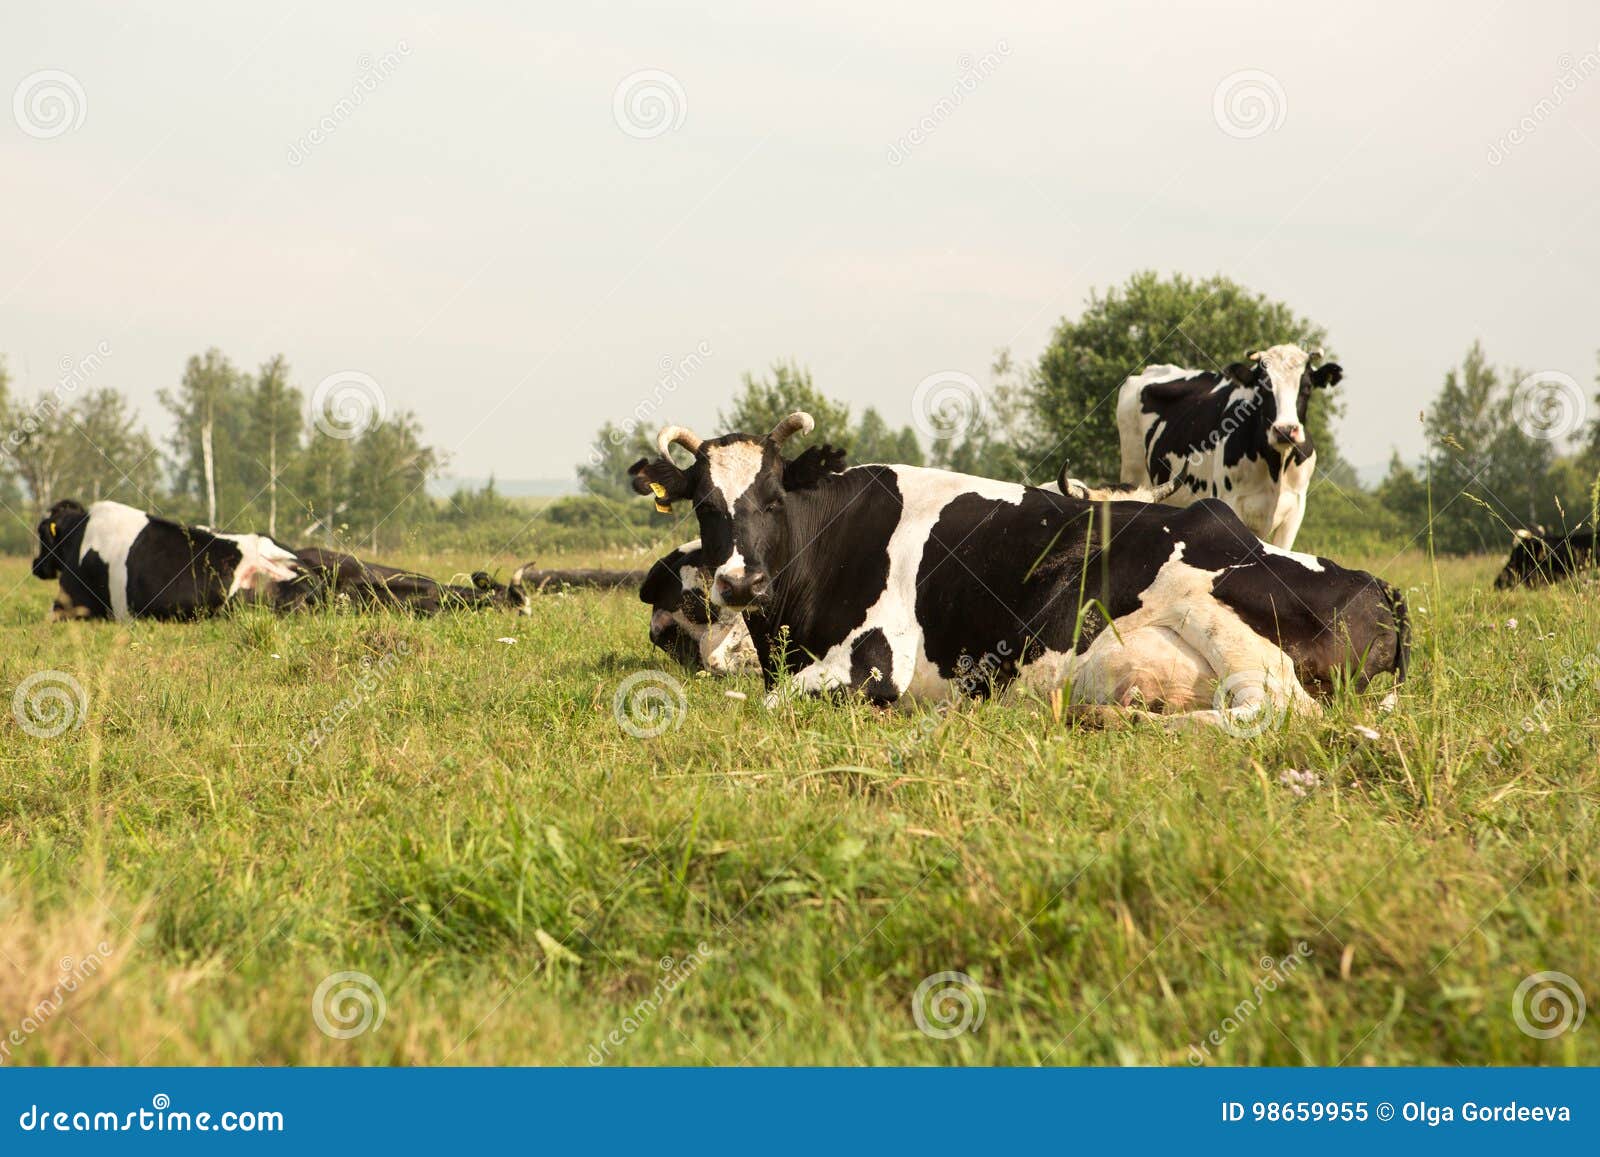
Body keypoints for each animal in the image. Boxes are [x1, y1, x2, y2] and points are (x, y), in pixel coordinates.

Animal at [627, 414, 1408, 730]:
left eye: (772, 497)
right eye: (704, 505)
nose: (739, 584)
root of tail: (1380, 587)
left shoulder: (876, 662)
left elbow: (768, 704)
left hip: (1221, 614)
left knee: (1275, 713)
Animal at [1116, 343, 1343, 549]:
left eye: (1306, 388)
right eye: (1264, 388)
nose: (1285, 430)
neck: (1275, 466)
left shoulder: (1295, 511)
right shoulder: (1230, 502)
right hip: (1133, 473)